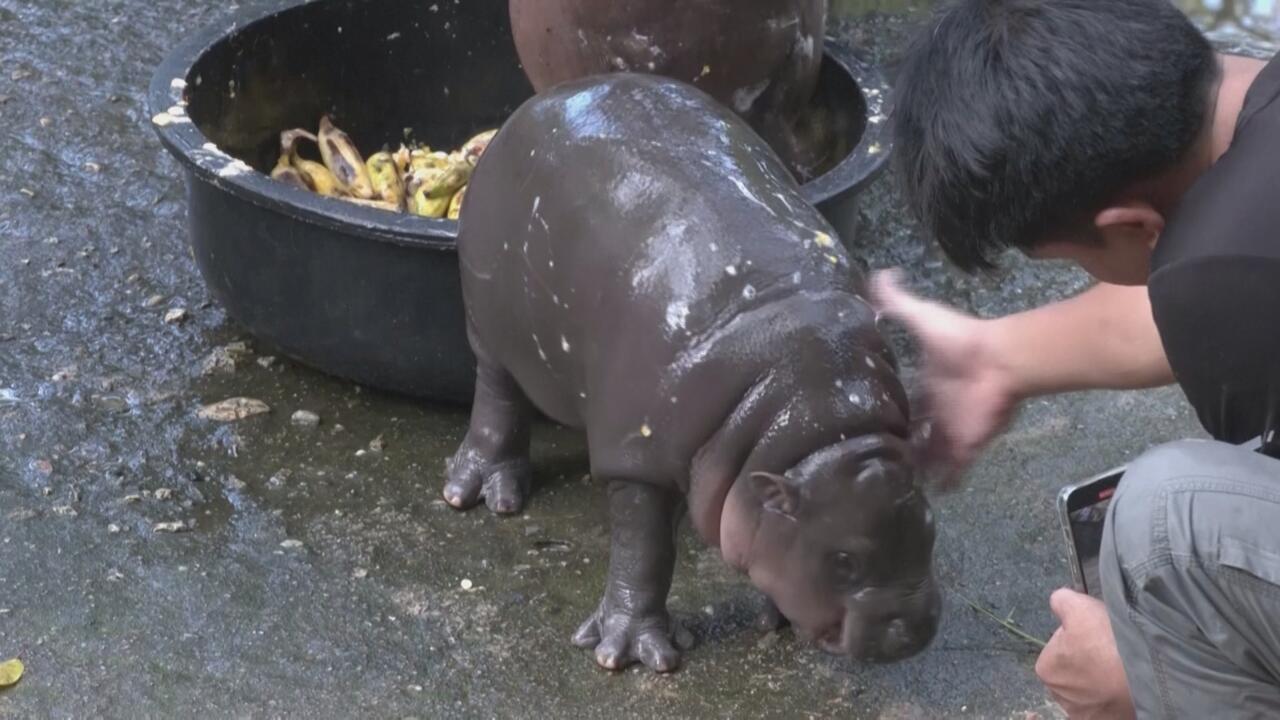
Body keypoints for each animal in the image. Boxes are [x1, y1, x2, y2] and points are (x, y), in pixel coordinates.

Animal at [445, 73, 940, 672]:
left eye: (930, 529)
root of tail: (541, 101)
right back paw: (483, 495)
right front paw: (634, 653)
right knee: (497, 395)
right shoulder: (636, 454)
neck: (813, 421)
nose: (912, 630)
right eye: (843, 560)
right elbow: (645, 552)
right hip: (489, 323)